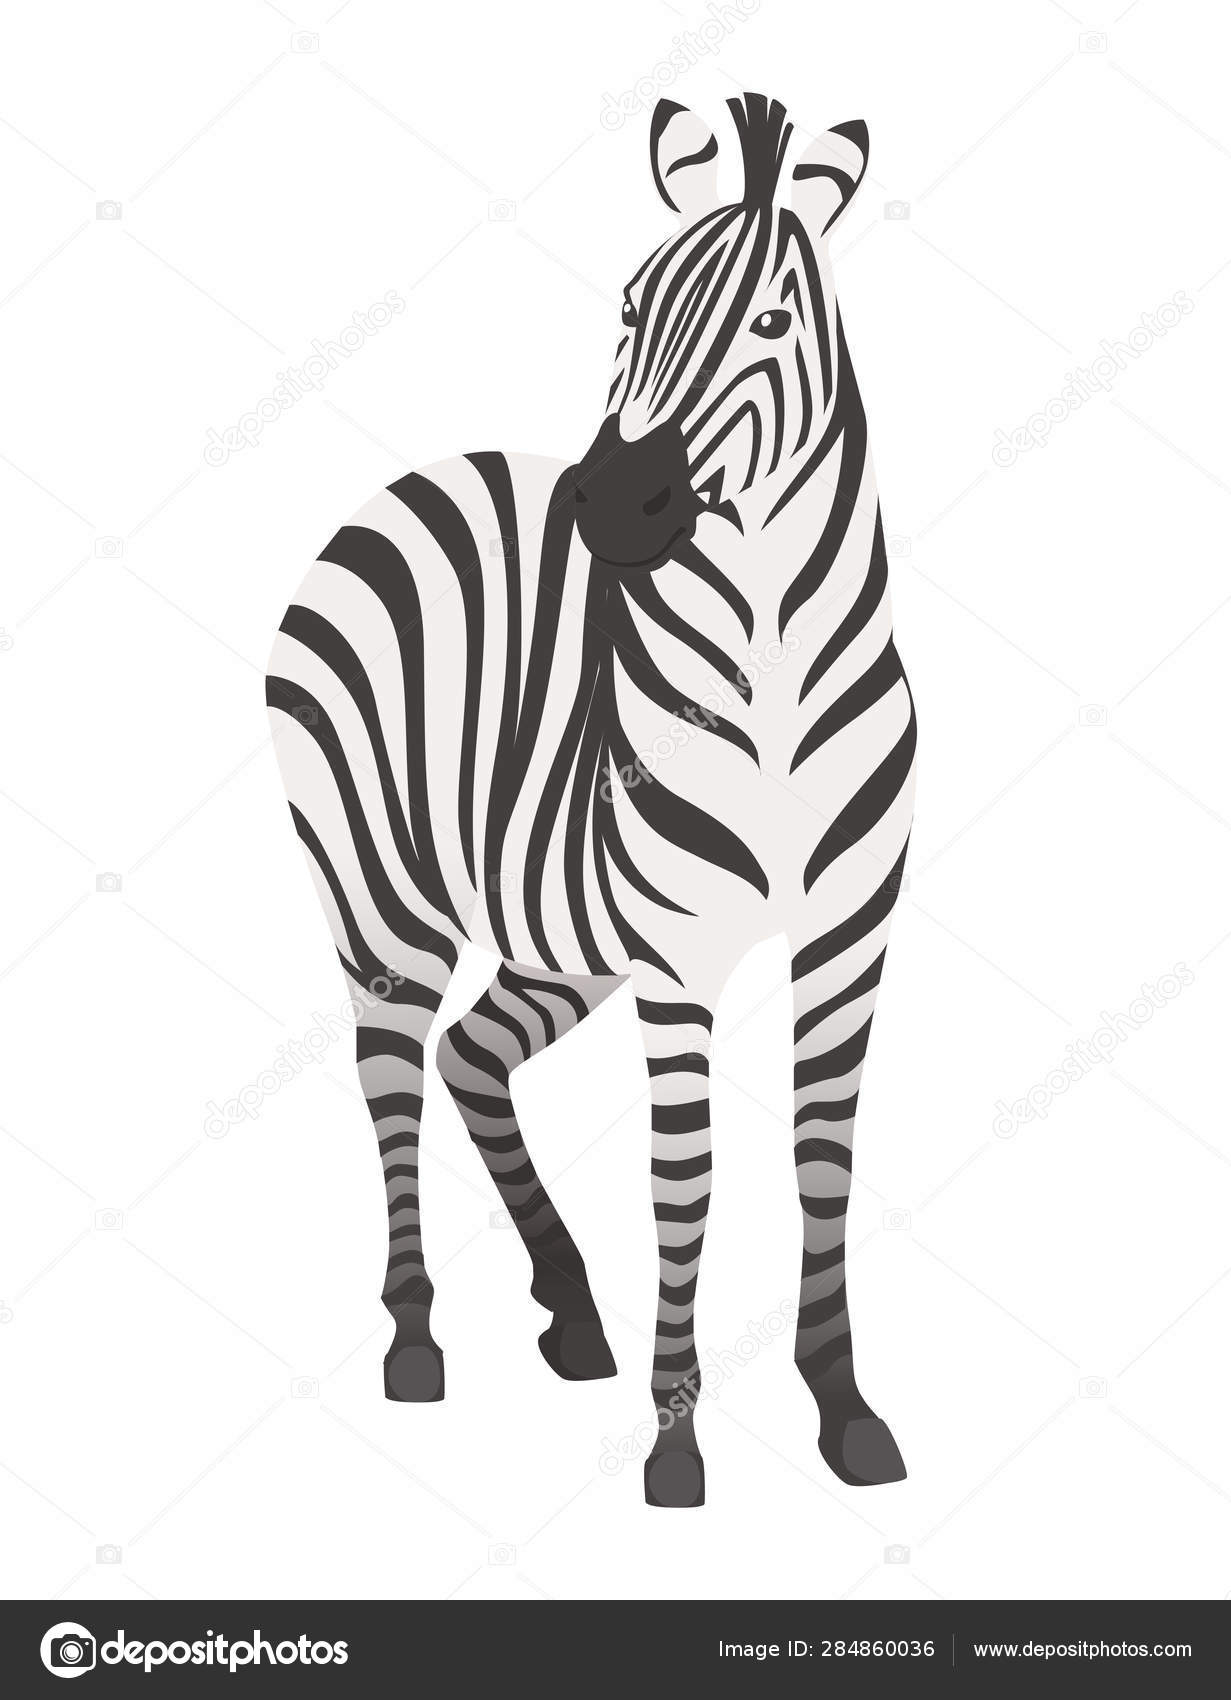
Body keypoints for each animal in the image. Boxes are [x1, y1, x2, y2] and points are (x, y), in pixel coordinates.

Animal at [267, 93, 915, 1508]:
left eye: (770, 324)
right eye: (628, 309)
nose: (606, 503)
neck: (769, 676)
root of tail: (413, 481)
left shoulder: (848, 946)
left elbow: (819, 1168)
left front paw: (844, 1412)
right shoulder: (678, 964)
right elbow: (687, 1184)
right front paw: (675, 1444)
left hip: (562, 927)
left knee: (470, 1050)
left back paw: (568, 1308)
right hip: (381, 896)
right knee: (391, 1067)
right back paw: (416, 1338)